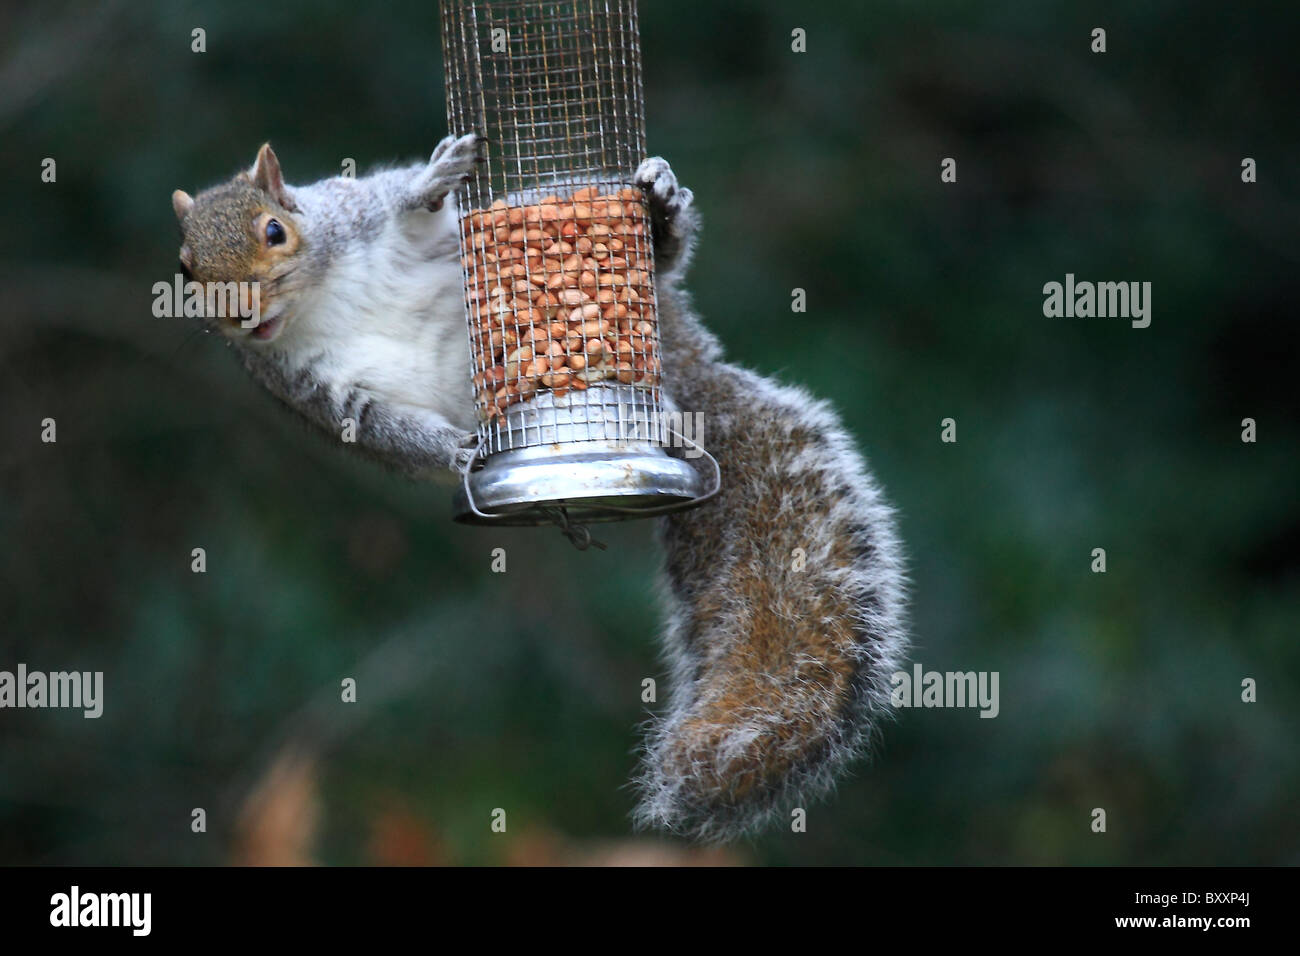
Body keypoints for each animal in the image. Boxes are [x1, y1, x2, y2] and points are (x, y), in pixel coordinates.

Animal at [171, 135, 909, 842]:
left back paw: (660, 225)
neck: (318, 300)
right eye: (186, 270)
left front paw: (436, 175)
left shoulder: (361, 217)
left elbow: (401, 202)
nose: (243, 317)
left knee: (666, 275)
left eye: (275, 231)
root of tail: (689, 367)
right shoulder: (316, 390)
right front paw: (459, 453)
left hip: (653, 331)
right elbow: (389, 432)